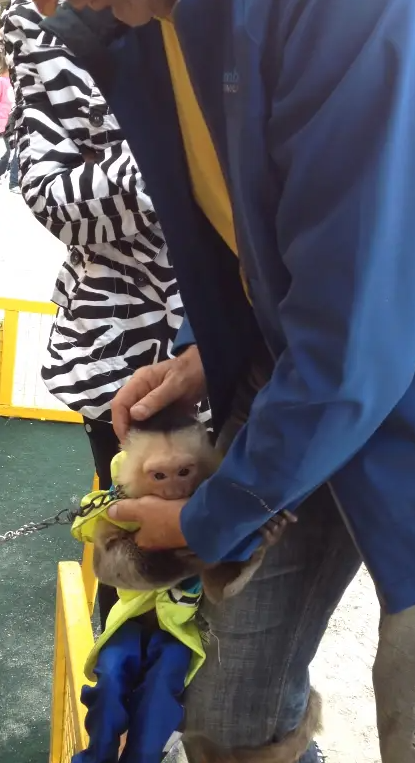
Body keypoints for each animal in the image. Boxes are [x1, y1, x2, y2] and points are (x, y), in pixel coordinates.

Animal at [92, 404, 296, 602]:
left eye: (183, 472)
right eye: (160, 476)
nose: (174, 491)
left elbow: (217, 592)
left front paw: (269, 532)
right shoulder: (116, 505)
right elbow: (103, 566)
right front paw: (182, 560)